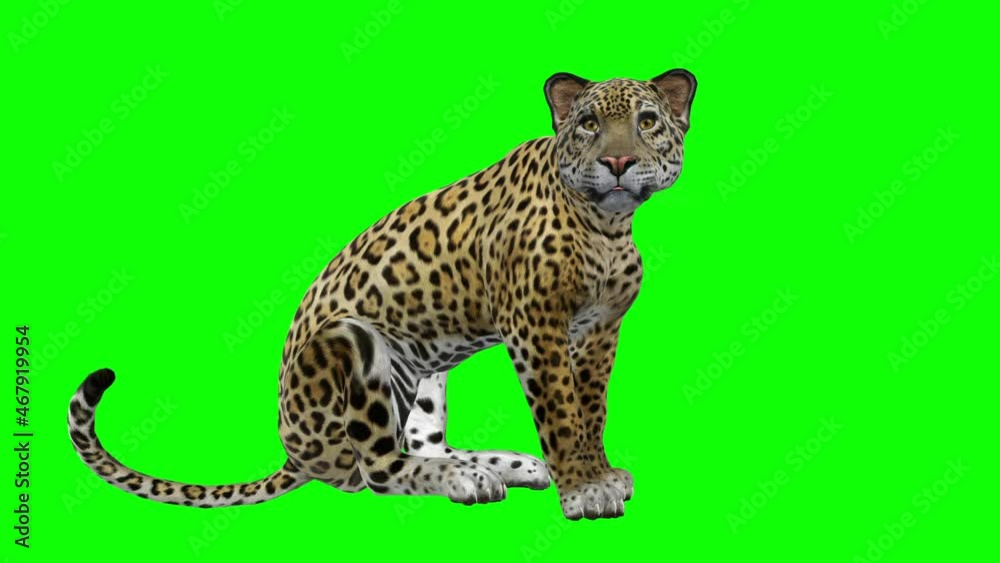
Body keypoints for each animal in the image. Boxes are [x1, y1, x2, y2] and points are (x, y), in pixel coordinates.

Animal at [69, 68, 697, 520]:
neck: (606, 226)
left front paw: (600, 473)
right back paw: (470, 478)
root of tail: (293, 448)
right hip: (357, 343)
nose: (618, 161)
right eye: (588, 123)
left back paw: (506, 466)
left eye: (647, 121)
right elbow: (561, 411)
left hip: (426, 372)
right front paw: (583, 490)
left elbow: (592, 407)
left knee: (417, 444)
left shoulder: (600, 328)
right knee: (375, 467)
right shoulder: (534, 325)